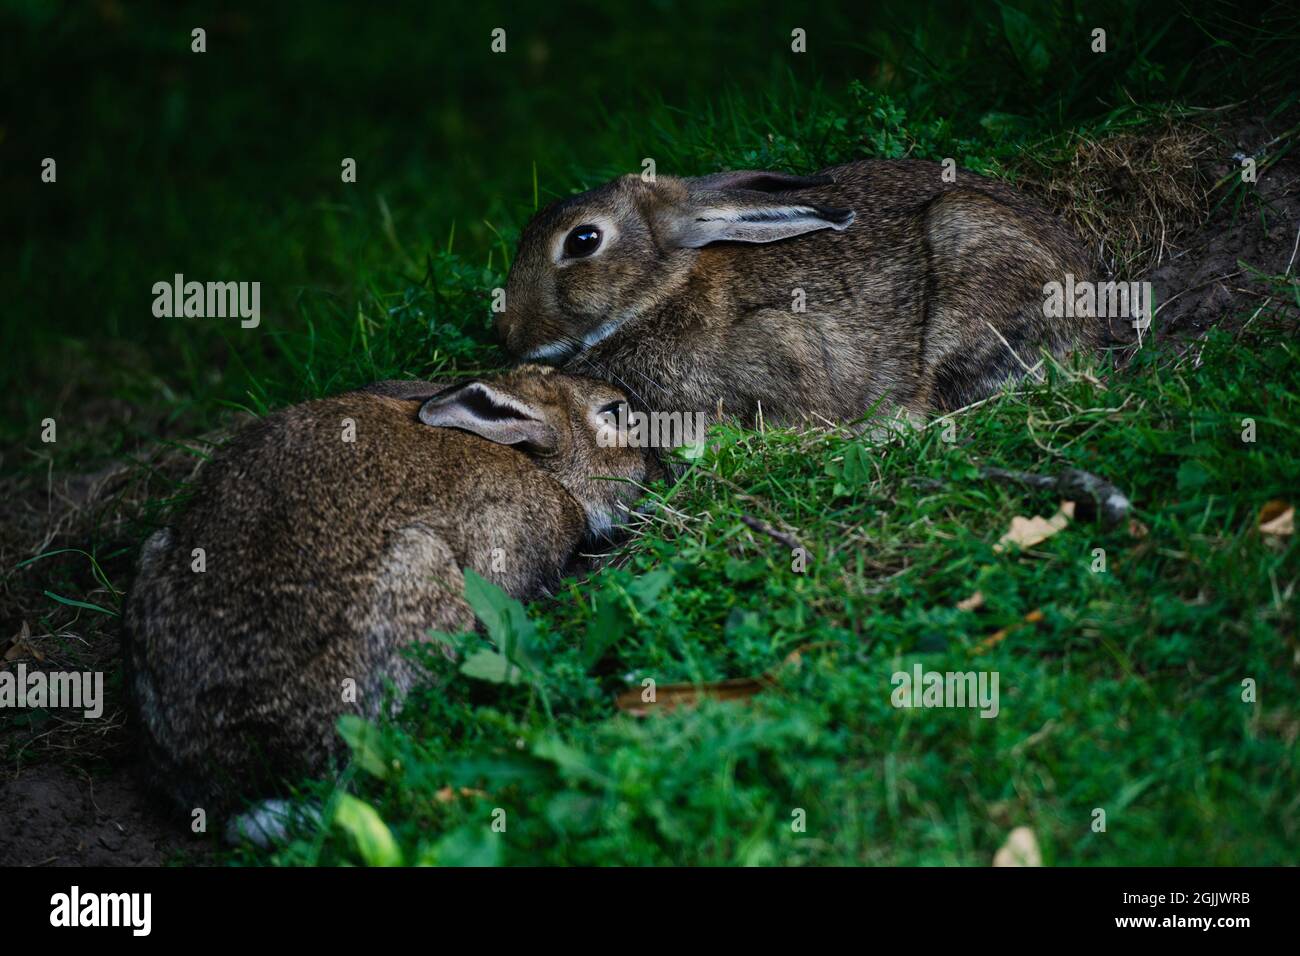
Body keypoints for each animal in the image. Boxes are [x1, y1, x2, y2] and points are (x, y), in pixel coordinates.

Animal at [123, 366, 652, 817]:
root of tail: (216, 759)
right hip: (417, 578)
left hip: (154, 556)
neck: (539, 464)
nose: (650, 464)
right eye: (614, 413)